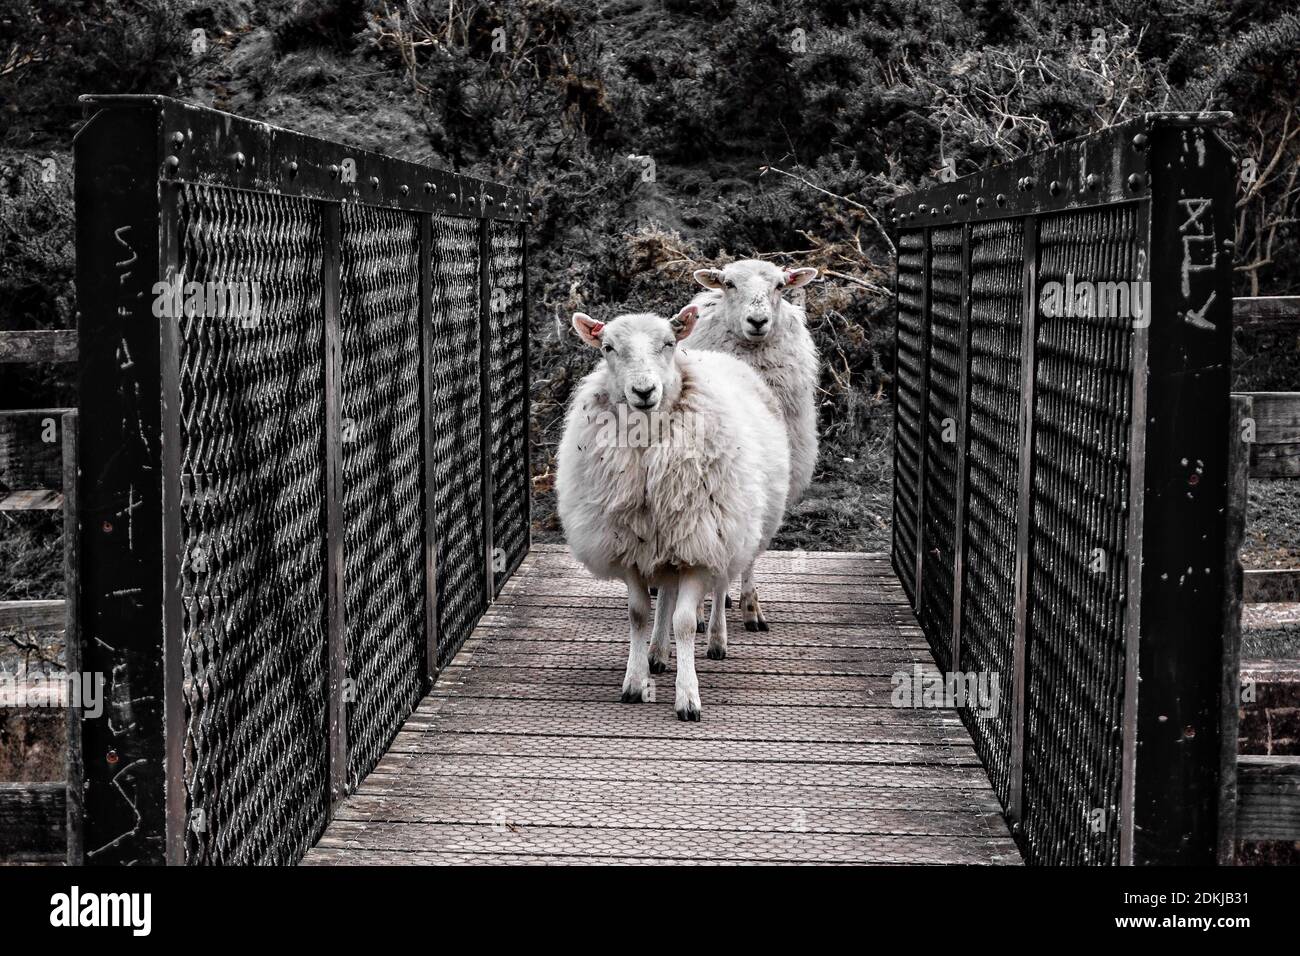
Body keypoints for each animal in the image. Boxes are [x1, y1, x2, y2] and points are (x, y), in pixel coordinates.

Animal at [556, 306, 790, 720]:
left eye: (668, 343)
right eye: (607, 347)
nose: (644, 392)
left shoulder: (700, 544)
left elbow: (683, 621)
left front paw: (688, 697)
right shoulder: (632, 549)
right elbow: (639, 613)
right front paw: (635, 682)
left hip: (733, 529)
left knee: (725, 581)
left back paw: (717, 638)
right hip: (665, 538)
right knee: (666, 592)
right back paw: (657, 654)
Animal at [683, 258, 820, 631]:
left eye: (779, 286)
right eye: (729, 284)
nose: (757, 321)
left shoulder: (771, 486)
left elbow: (752, 551)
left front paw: (751, 606)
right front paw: (698, 614)